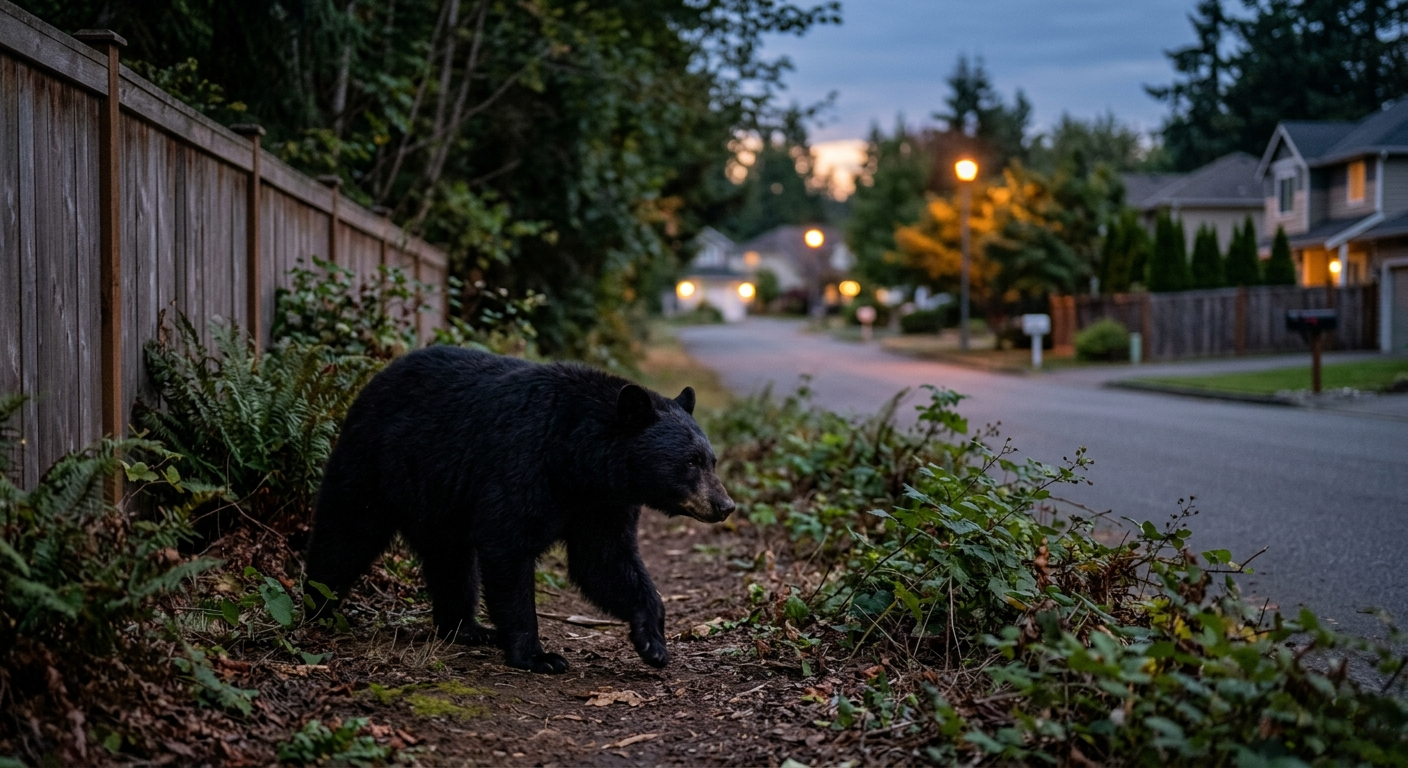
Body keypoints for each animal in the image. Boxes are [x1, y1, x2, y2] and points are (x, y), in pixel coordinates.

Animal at [304, 345, 735, 673]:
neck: (576, 461)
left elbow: (605, 561)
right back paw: (318, 608)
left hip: (438, 499)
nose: (725, 505)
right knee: (345, 533)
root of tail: (374, 380)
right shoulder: (522, 463)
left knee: (451, 560)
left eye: (711, 460)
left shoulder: (603, 503)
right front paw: (538, 656)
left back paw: (468, 629)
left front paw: (653, 643)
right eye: (691, 461)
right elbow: (509, 548)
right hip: (376, 465)